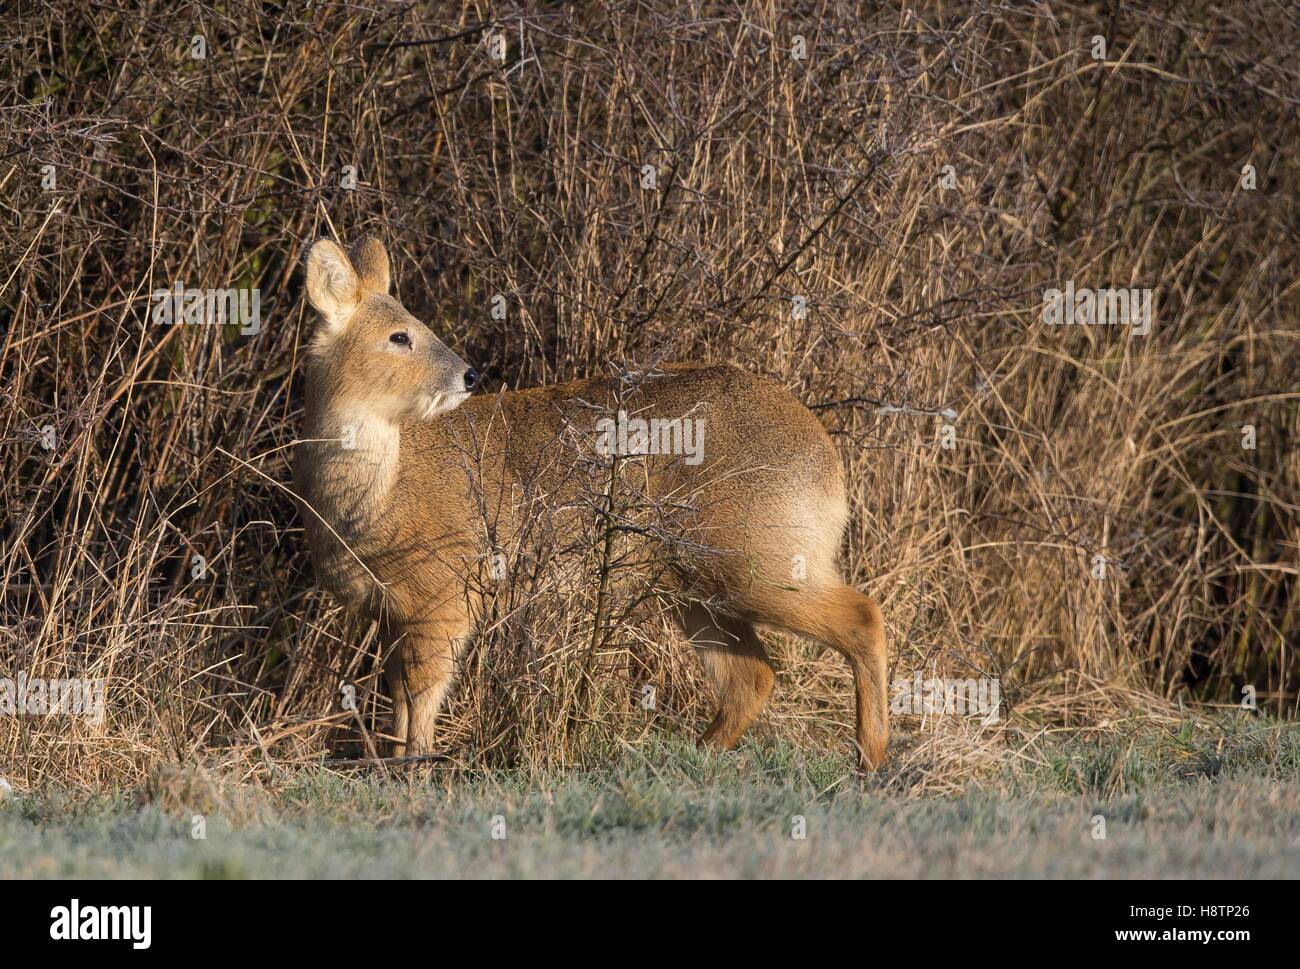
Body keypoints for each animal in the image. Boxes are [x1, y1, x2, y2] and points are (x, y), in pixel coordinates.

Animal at [294, 236, 889, 769]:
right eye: (398, 335)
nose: (469, 373)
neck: (378, 494)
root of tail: (829, 463)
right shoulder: (394, 611)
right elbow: (399, 698)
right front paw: (392, 765)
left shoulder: (444, 598)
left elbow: (421, 699)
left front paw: (413, 770)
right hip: (693, 586)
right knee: (754, 678)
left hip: (761, 560)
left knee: (864, 618)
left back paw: (871, 761)